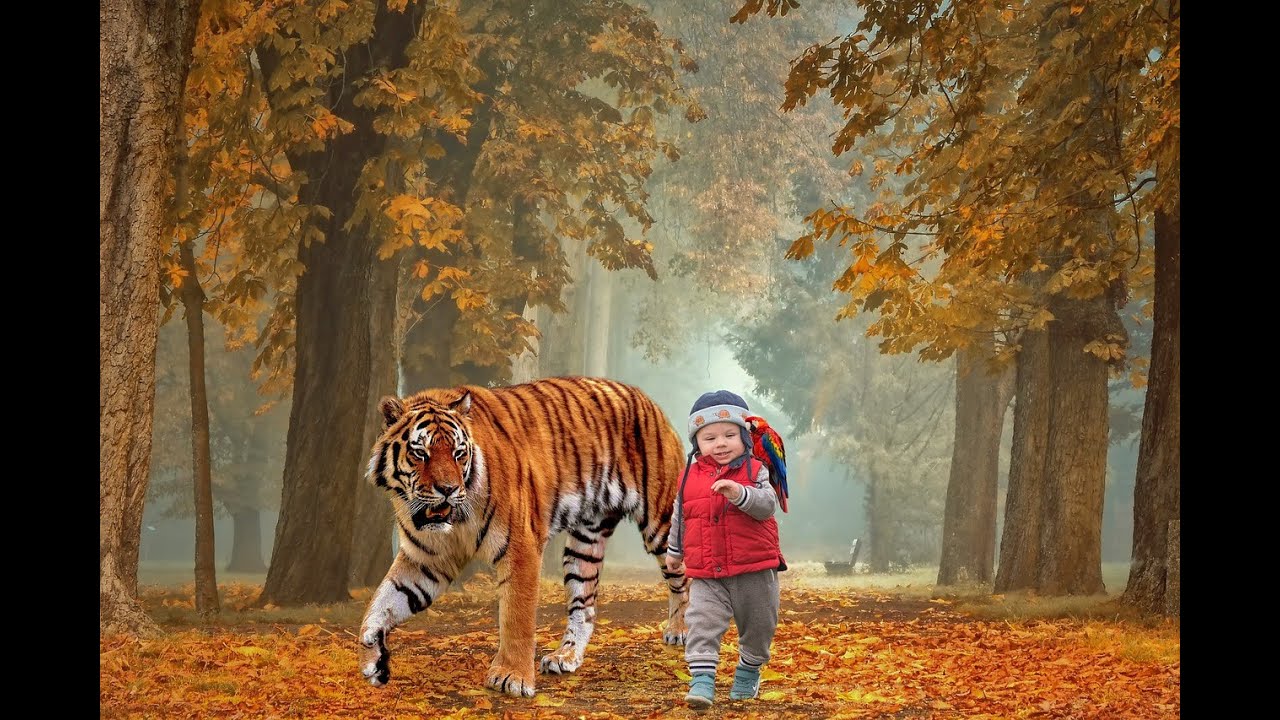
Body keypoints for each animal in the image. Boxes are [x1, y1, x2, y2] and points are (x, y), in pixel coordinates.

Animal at [358, 376, 690, 697]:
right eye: (420, 453)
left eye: (458, 453)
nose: (448, 490)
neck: (454, 520)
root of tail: (645, 397)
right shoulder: (426, 560)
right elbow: (382, 602)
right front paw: (372, 655)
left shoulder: (520, 548)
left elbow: (516, 617)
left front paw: (512, 677)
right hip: (584, 542)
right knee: (585, 606)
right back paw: (565, 657)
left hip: (661, 522)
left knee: (683, 578)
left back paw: (681, 630)